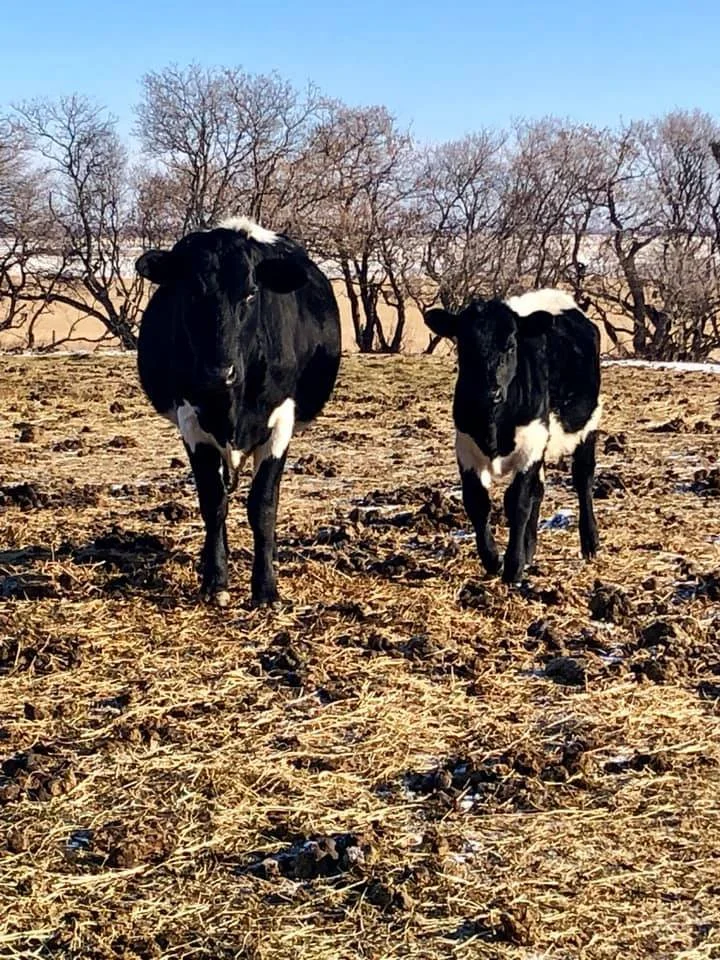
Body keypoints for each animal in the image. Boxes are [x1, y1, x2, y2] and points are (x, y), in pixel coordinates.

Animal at [135, 216, 341, 607]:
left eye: (250, 293)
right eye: (191, 292)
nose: (219, 372)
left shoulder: (281, 420)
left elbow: (263, 506)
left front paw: (266, 589)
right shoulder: (191, 420)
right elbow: (213, 502)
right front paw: (215, 581)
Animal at [424, 289, 601, 584]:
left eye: (510, 346)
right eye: (465, 346)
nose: (489, 390)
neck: (493, 425)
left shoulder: (530, 445)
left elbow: (517, 502)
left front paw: (513, 566)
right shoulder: (466, 447)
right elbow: (477, 502)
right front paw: (492, 559)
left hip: (587, 424)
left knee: (582, 479)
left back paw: (590, 542)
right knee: (538, 491)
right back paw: (530, 550)